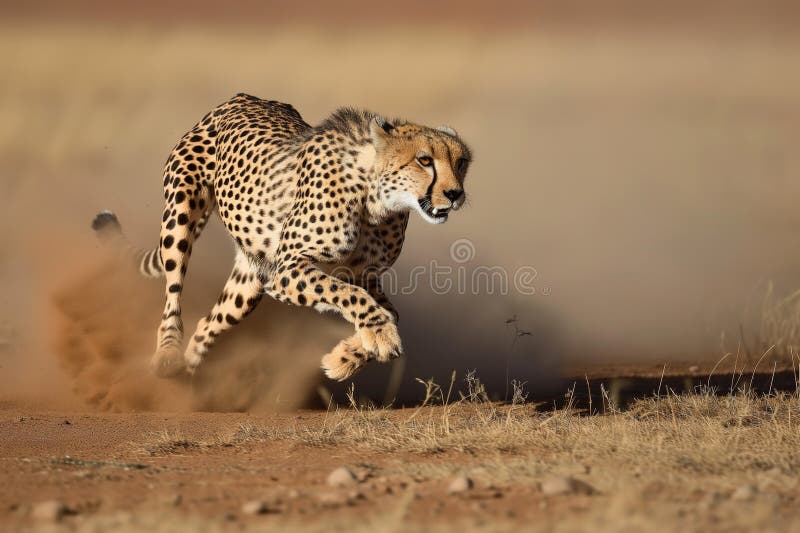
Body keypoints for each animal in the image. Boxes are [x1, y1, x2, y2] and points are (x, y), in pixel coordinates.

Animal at [92, 93, 471, 381]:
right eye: (424, 160)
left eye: (462, 162)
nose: (455, 194)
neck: (375, 198)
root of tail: (239, 98)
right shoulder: (289, 269)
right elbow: (351, 296)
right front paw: (378, 335)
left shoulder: (363, 274)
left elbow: (385, 308)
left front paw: (343, 359)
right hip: (181, 214)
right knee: (173, 292)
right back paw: (168, 354)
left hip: (249, 283)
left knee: (207, 324)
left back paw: (191, 377)